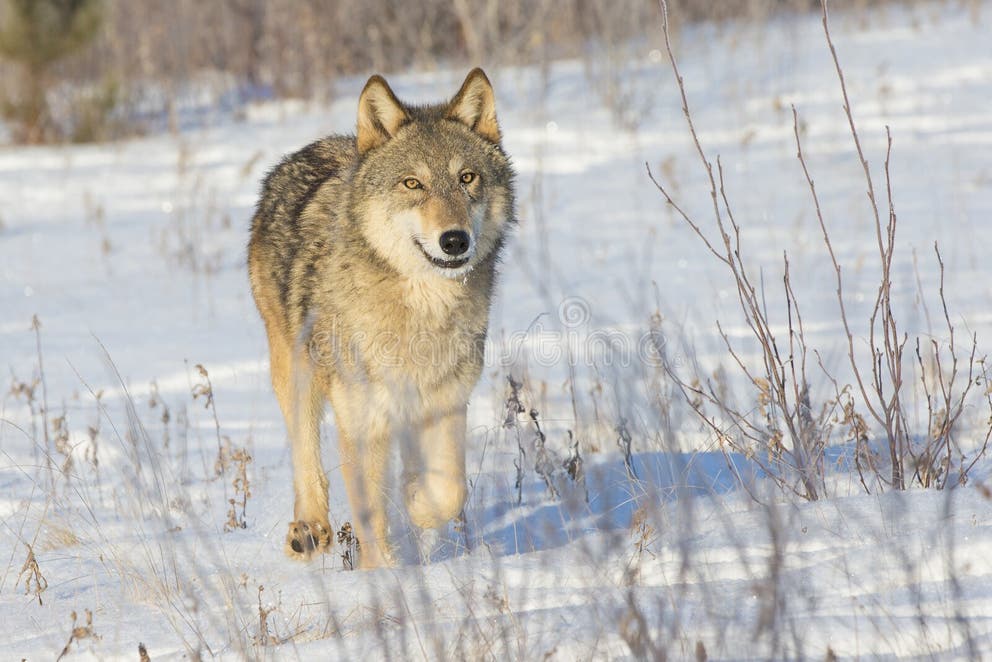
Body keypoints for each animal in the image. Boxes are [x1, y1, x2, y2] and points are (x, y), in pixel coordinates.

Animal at [248, 69, 515, 568]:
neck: (421, 315)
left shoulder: (447, 401)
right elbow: (371, 510)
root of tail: (314, 146)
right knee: (304, 451)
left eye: (467, 178)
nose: (454, 240)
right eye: (413, 184)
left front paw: (416, 503)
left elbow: (447, 491)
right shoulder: (362, 418)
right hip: (297, 370)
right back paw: (308, 529)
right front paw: (385, 575)